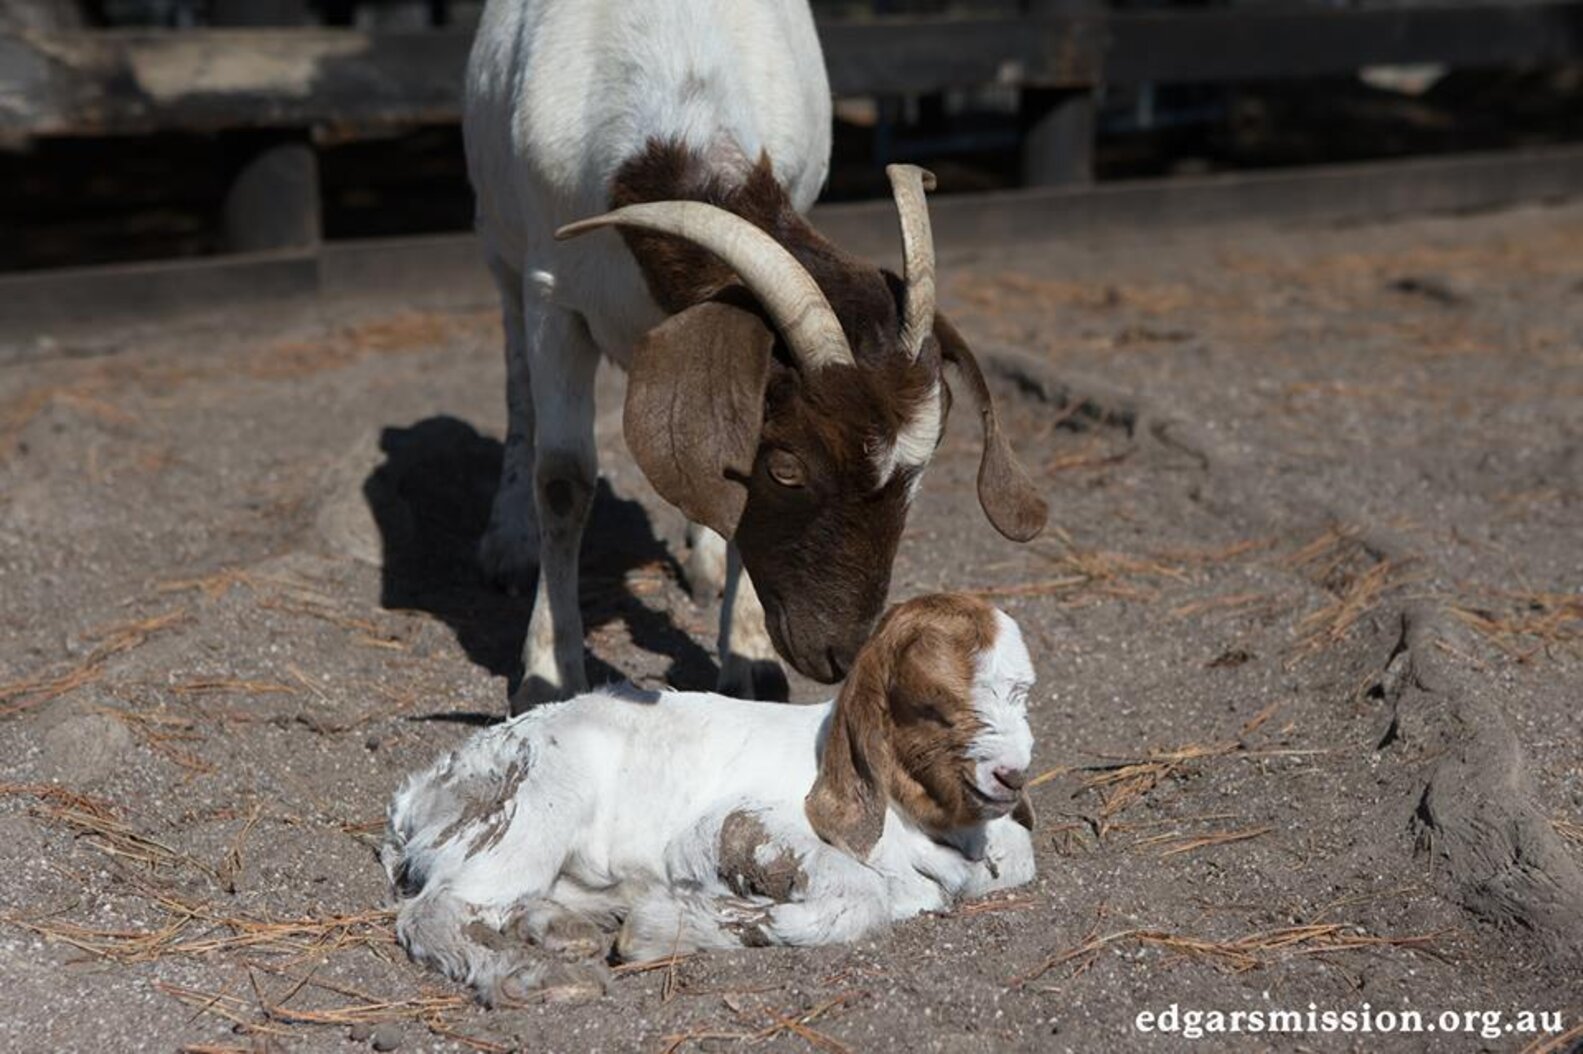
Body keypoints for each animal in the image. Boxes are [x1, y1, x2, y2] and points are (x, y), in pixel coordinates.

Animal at [382, 593, 1038, 1005]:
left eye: (1024, 696)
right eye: (932, 706)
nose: (1013, 775)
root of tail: (422, 792)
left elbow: (1015, 857)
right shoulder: (730, 824)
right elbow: (862, 898)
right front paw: (658, 926)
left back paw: (563, 927)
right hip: (535, 805)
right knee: (437, 911)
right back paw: (536, 975)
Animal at [465, 1, 1047, 711]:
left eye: (920, 471)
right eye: (787, 468)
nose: (838, 654)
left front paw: (748, 660)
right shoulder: (553, 293)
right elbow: (563, 480)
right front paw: (549, 673)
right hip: (499, 249)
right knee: (518, 388)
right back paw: (508, 543)